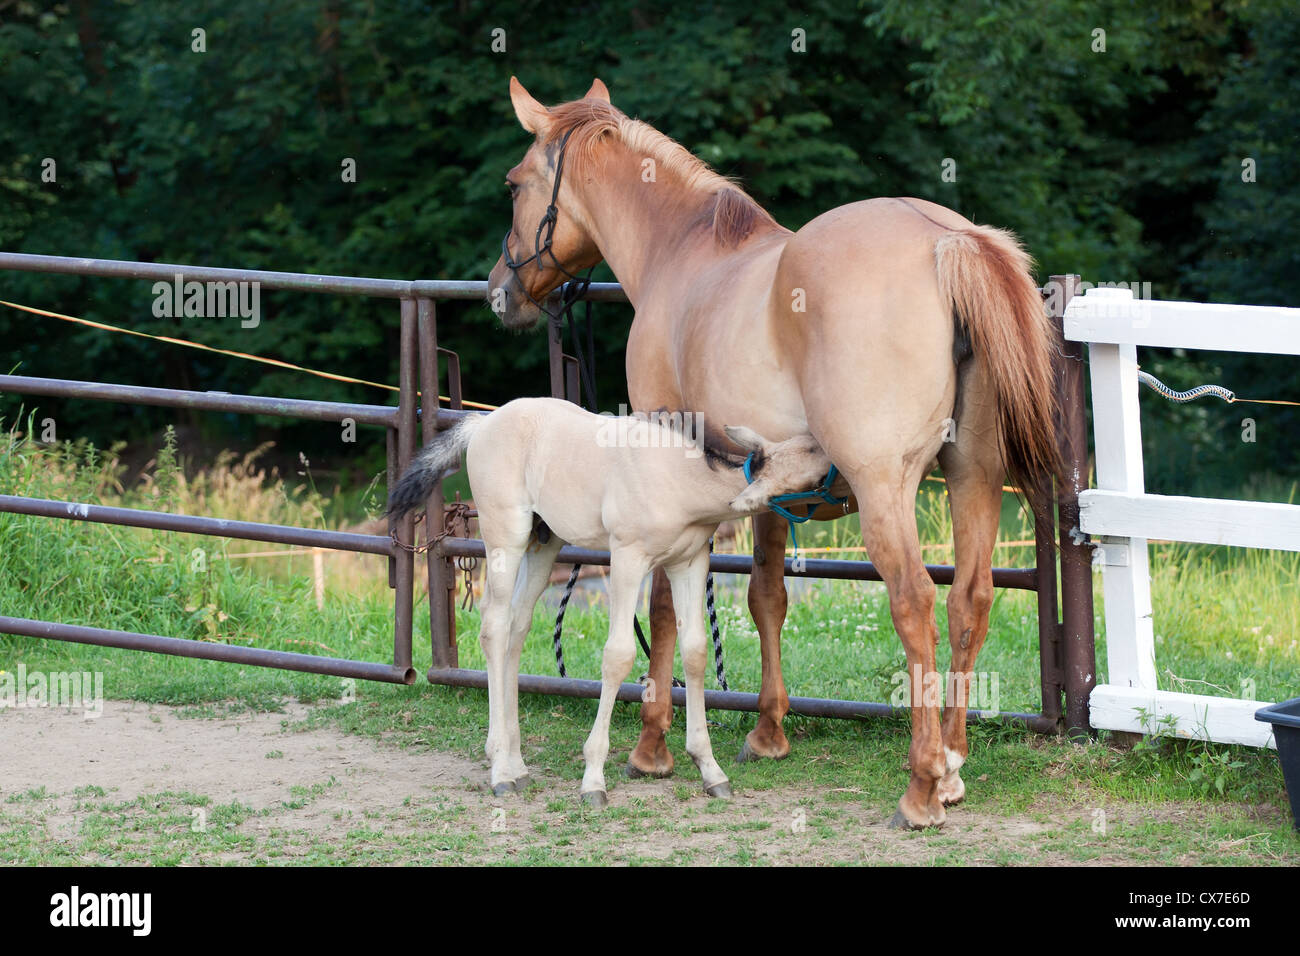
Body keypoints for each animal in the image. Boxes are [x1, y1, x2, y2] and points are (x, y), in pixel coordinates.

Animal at [388, 397, 833, 806]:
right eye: (811, 452)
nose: (833, 448)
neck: (680, 479)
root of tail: (482, 424)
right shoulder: (627, 559)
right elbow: (618, 656)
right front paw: (593, 779)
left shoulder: (689, 563)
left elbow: (695, 652)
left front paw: (710, 770)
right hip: (505, 538)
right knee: (494, 626)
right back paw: (499, 767)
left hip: (543, 543)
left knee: (517, 626)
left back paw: (516, 764)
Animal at [486, 78, 1059, 828]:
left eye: (515, 184)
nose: (500, 292)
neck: (684, 256)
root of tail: (948, 239)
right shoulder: (765, 489)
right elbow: (765, 596)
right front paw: (768, 730)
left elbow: (666, 609)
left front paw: (651, 747)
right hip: (974, 478)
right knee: (970, 600)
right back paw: (954, 764)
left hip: (887, 489)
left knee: (914, 602)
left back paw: (922, 785)